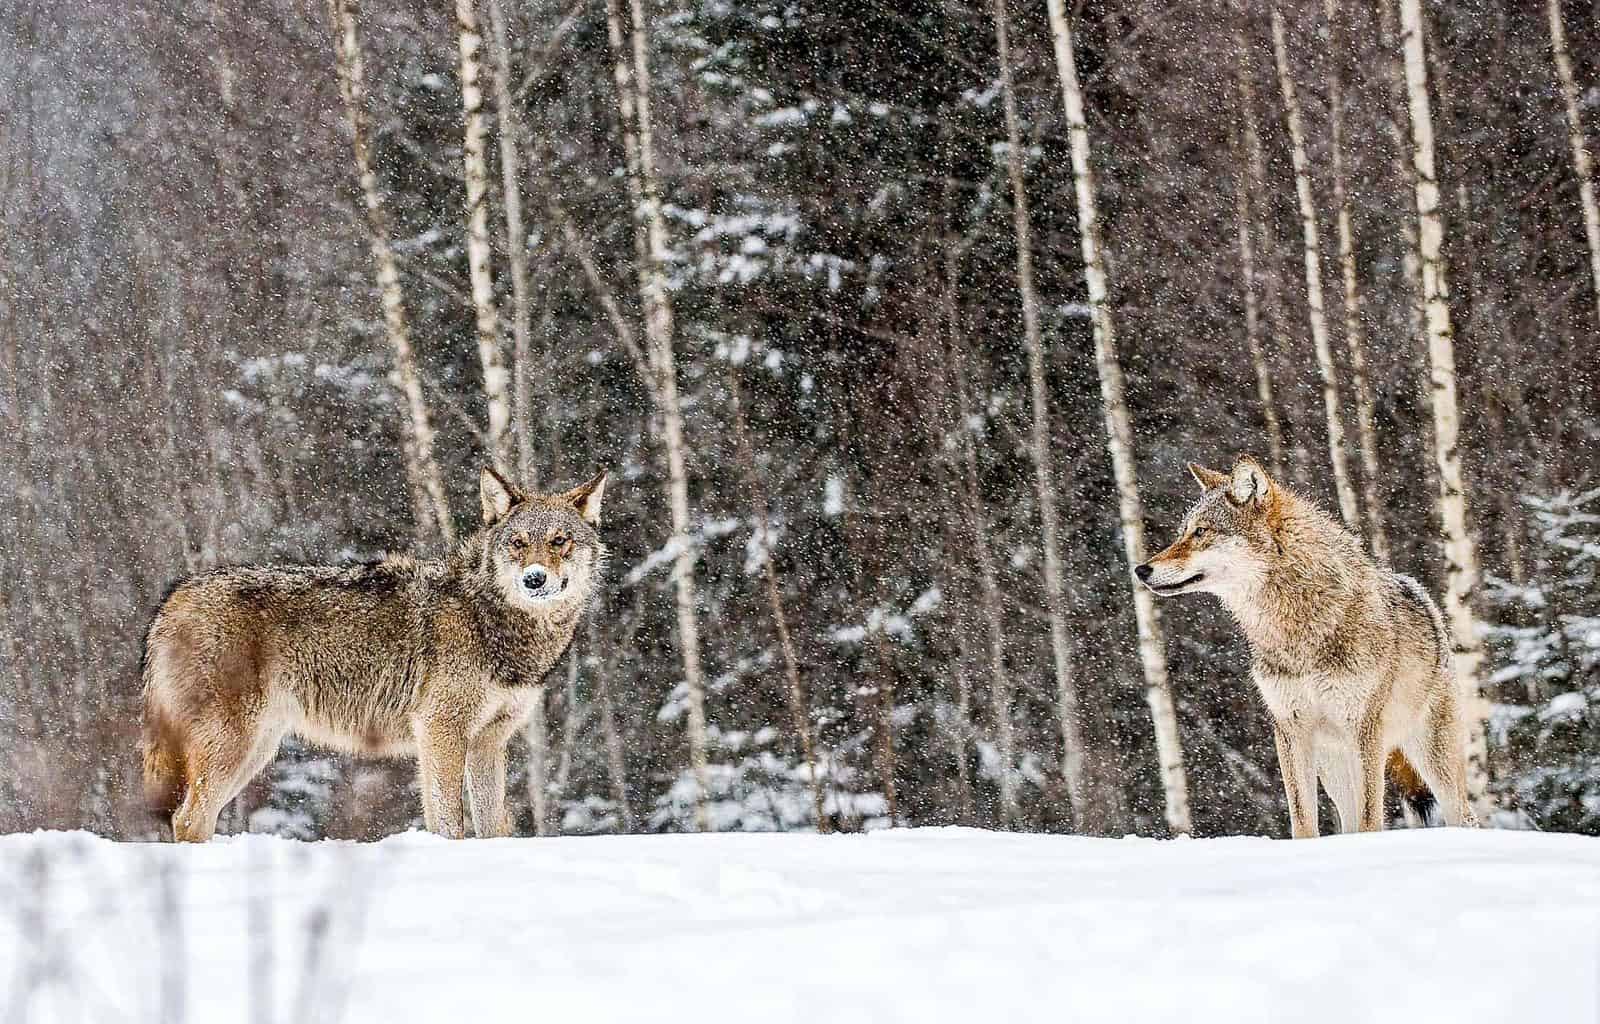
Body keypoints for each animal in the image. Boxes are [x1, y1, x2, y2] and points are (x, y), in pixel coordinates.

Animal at [141, 466, 606, 842]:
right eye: (518, 542)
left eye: (560, 541)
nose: (534, 579)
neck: (491, 617)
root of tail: (175, 598)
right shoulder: (440, 731)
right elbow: (450, 822)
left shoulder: (489, 740)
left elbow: (495, 826)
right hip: (234, 744)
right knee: (188, 819)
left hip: (257, 749)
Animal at [1135, 456, 1479, 837]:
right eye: (1183, 532)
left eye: (1201, 532)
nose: (1141, 569)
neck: (1294, 629)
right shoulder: (1289, 729)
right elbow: (1302, 821)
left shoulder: (1365, 730)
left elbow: (1371, 820)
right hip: (1335, 768)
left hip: (1430, 762)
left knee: (1466, 817)